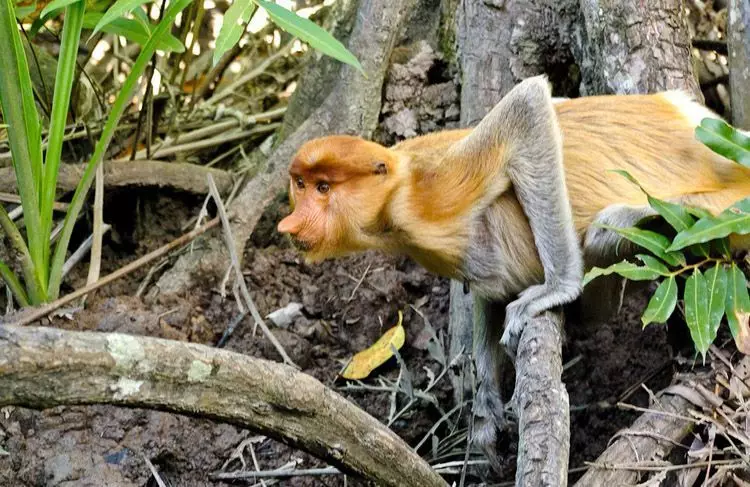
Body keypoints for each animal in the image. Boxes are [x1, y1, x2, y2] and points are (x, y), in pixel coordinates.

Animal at [276, 75, 750, 466]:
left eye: (323, 188)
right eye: (300, 185)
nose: (289, 225)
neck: (393, 191)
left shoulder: (431, 193)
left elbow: (528, 107)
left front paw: (557, 288)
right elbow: (487, 293)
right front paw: (484, 412)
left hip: (718, 213)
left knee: (604, 230)